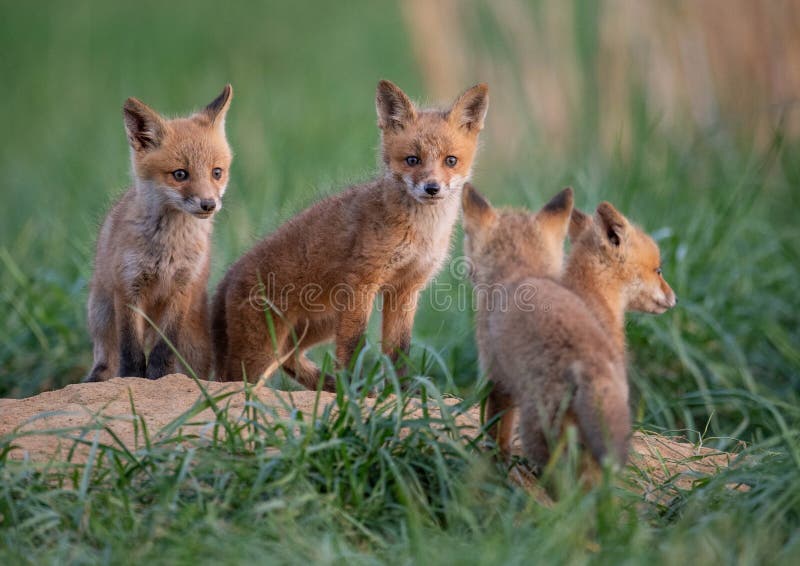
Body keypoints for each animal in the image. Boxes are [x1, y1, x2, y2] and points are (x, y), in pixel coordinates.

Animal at [85, 85, 233, 382]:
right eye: (180, 174)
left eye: (217, 172)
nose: (209, 204)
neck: (169, 248)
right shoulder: (128, 287)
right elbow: (130, 349)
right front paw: (132, 379)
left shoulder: (181, 288)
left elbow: (164, 348)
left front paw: (158, 377)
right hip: (101, 313)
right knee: (107, 356)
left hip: (194, 340)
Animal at [212, 80, 489, 390]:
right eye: (412, 160)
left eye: (450, 160)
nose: (432, 188)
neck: (420, 233)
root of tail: (227, 276)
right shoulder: (362, 283)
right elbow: (353, 346)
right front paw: (355, 392)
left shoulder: (405, 290)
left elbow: (399, 352)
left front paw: (400, 394)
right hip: (262, 349)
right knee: (231, 382)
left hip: (317, 327)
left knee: (291, 360)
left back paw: (327, 385)